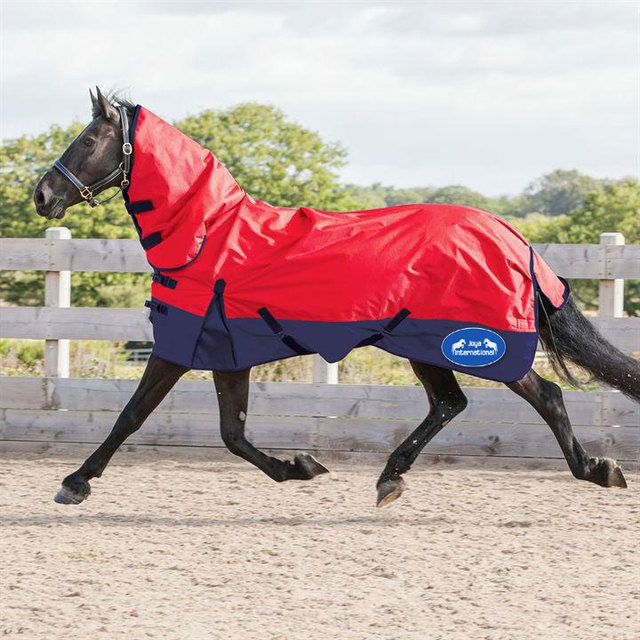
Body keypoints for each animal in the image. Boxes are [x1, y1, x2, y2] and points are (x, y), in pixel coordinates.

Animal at [33, 88, 637, 507]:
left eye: (88, 141)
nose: (42, 194)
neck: (210, 237)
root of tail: (510, 236)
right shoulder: (228, 356)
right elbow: (232, 434)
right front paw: (300, 467)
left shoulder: (179, 348)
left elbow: (131, 415)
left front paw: (74, 482)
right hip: (422, 345)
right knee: (449, 404)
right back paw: (390, 478)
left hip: (477, 342)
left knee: (545, 395)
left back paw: (598, 470)